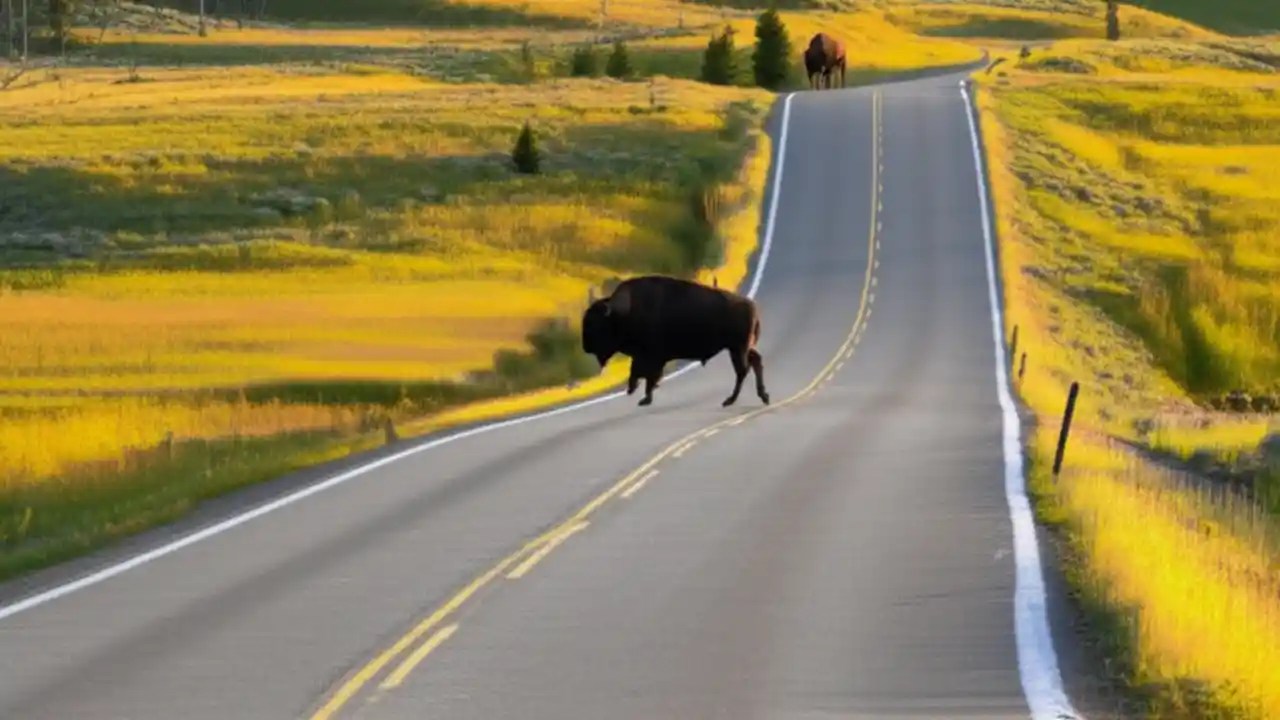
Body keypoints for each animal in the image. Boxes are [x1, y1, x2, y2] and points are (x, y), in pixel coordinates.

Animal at [581, 275, 769, 408]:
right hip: (742, 348)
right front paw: (637, 392)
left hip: (737, 349)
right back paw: (763, 396)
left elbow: (647, 375)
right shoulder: (645, 357)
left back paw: (729, 400)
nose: (586, 347)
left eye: (595, 324)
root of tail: (751, 305)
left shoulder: (651, 356)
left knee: (743, 370)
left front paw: (644, 398)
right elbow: (640, 373)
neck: (623, 312)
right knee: (755, 362)